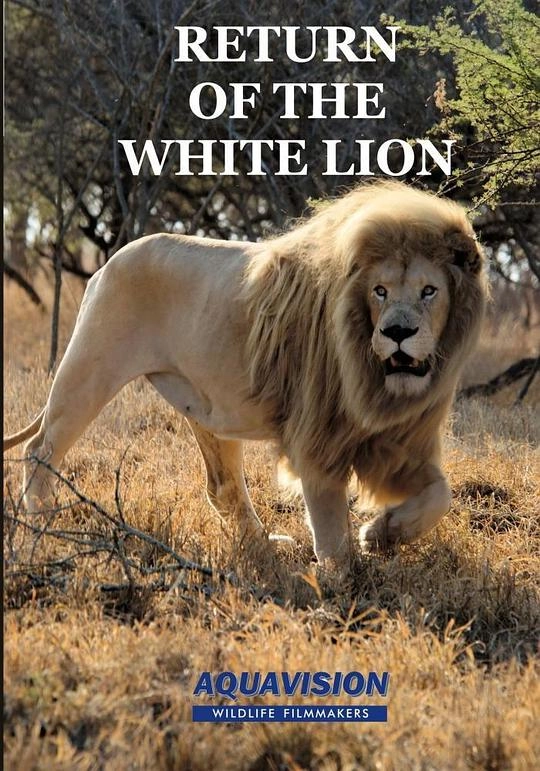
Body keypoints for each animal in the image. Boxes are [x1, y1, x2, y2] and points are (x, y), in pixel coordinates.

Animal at [4, 181, 487, 569]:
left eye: (429, 291)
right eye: (379, 291)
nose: (397, 333)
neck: (377, 380)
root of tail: (107, 264)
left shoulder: (399, 441)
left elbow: (440, 494)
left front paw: (382, 535)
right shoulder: (318, 438)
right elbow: (331, 527)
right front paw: (344, 578)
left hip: (206, 406)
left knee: (223, 486)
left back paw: (265, 546)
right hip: (90, 370)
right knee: (38, 449)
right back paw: (42, 524)